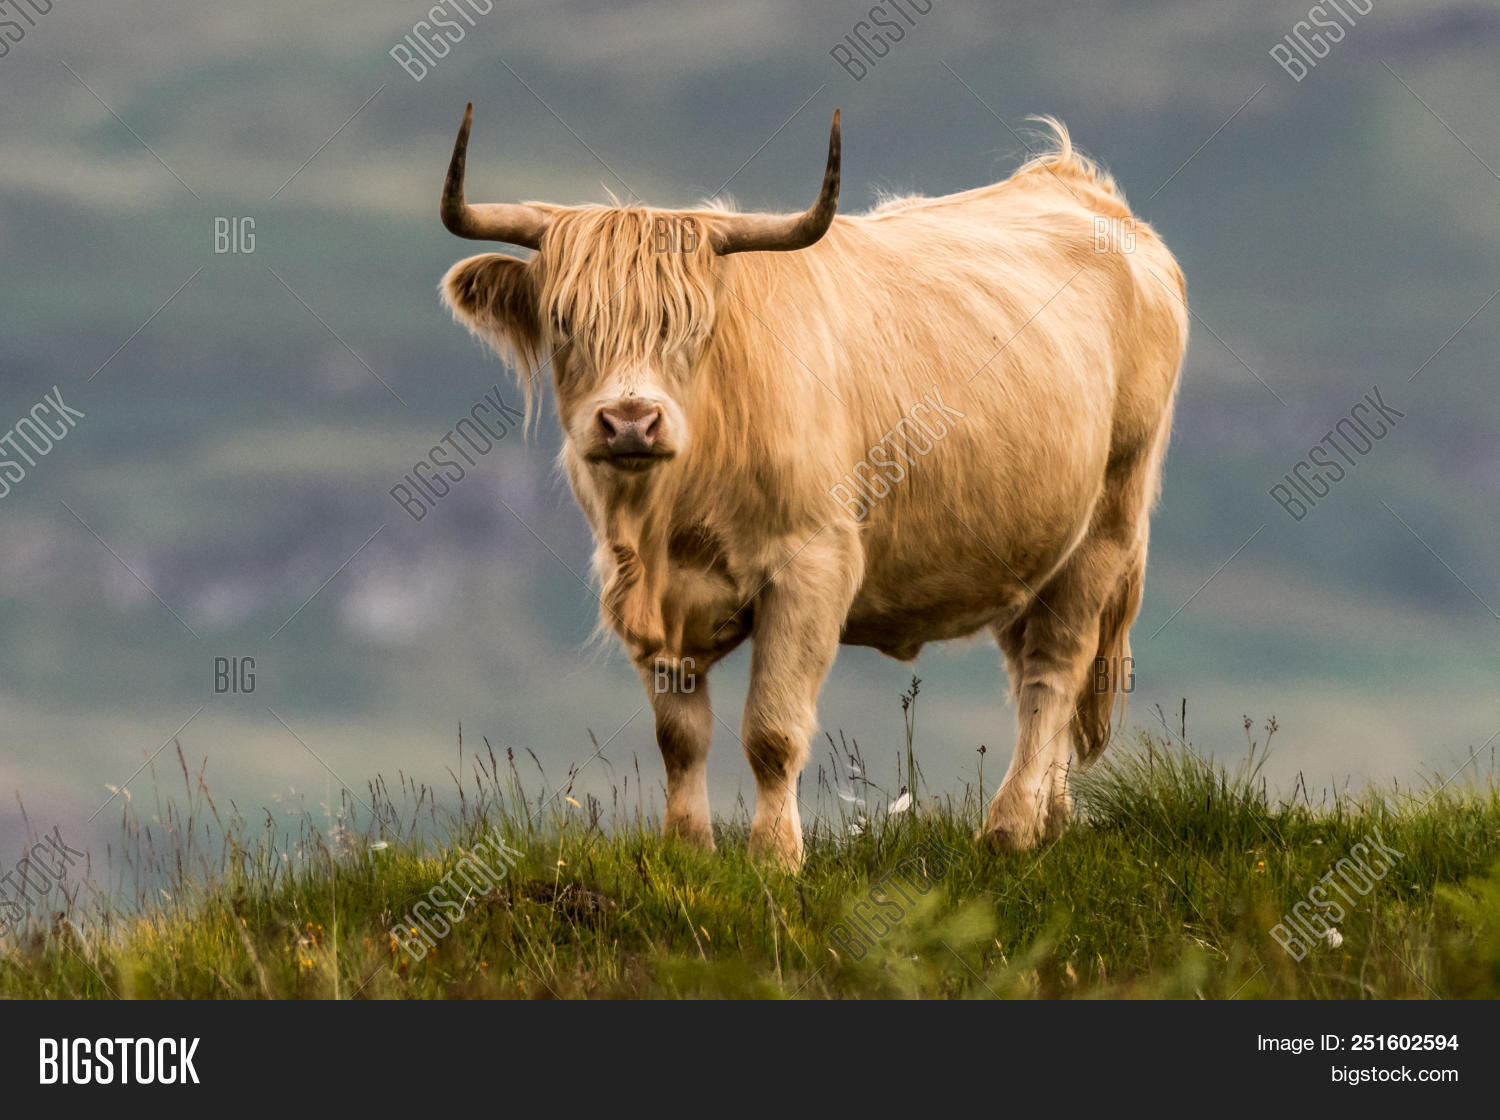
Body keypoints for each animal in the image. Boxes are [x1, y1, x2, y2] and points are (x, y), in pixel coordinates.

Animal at [439, 103, 1188, 869]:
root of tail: (1074, 183)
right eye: (564, 321)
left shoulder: (812, 568)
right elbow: (680, 736)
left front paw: (775, 856)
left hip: (1107, 523)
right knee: (1034, 673)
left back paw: (1008, 829)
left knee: (1055, 673)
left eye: (694, 326)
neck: (673, 515)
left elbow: (771, 731)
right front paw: (689, 849)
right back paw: (1050, 819)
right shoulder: (649, 595)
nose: (630, 422)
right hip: (1031, 546)